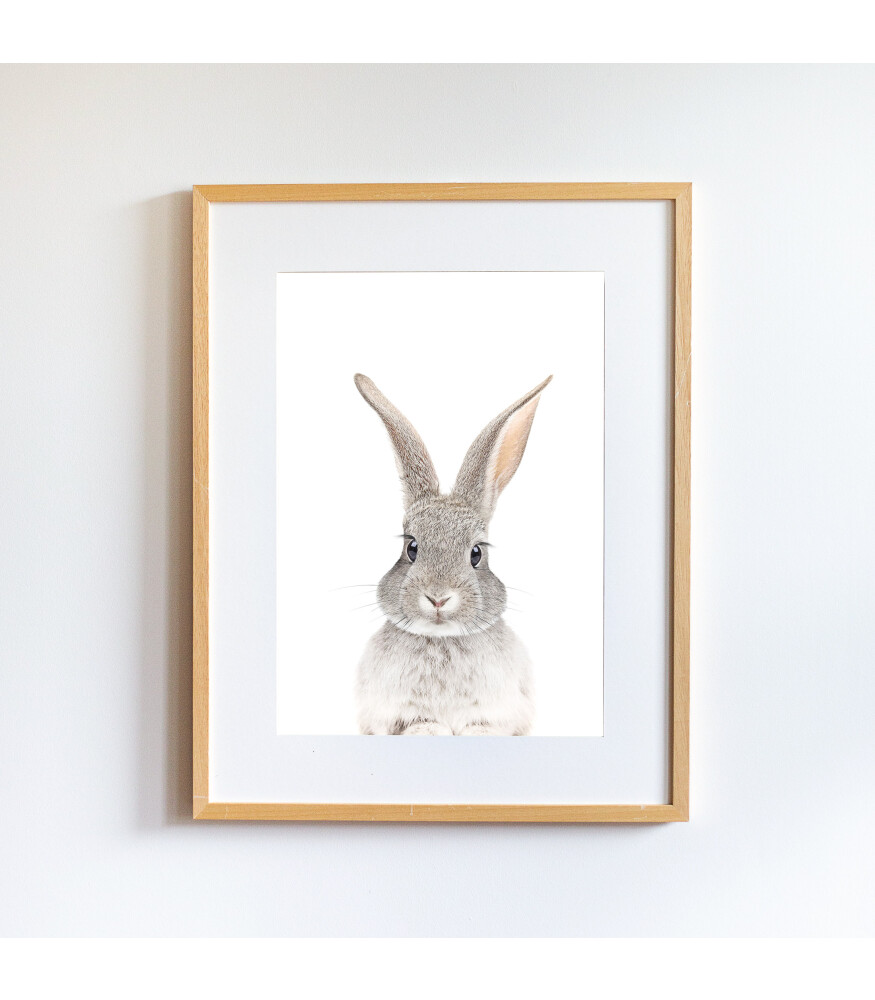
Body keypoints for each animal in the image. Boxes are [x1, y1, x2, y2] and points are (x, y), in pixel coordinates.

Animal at [353, 372, 552, 736]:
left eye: (476, 553)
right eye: (411, 548)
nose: (438, 598)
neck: (441, 639)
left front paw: (479, 734)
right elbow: (417, 722)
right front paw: (428, 731)